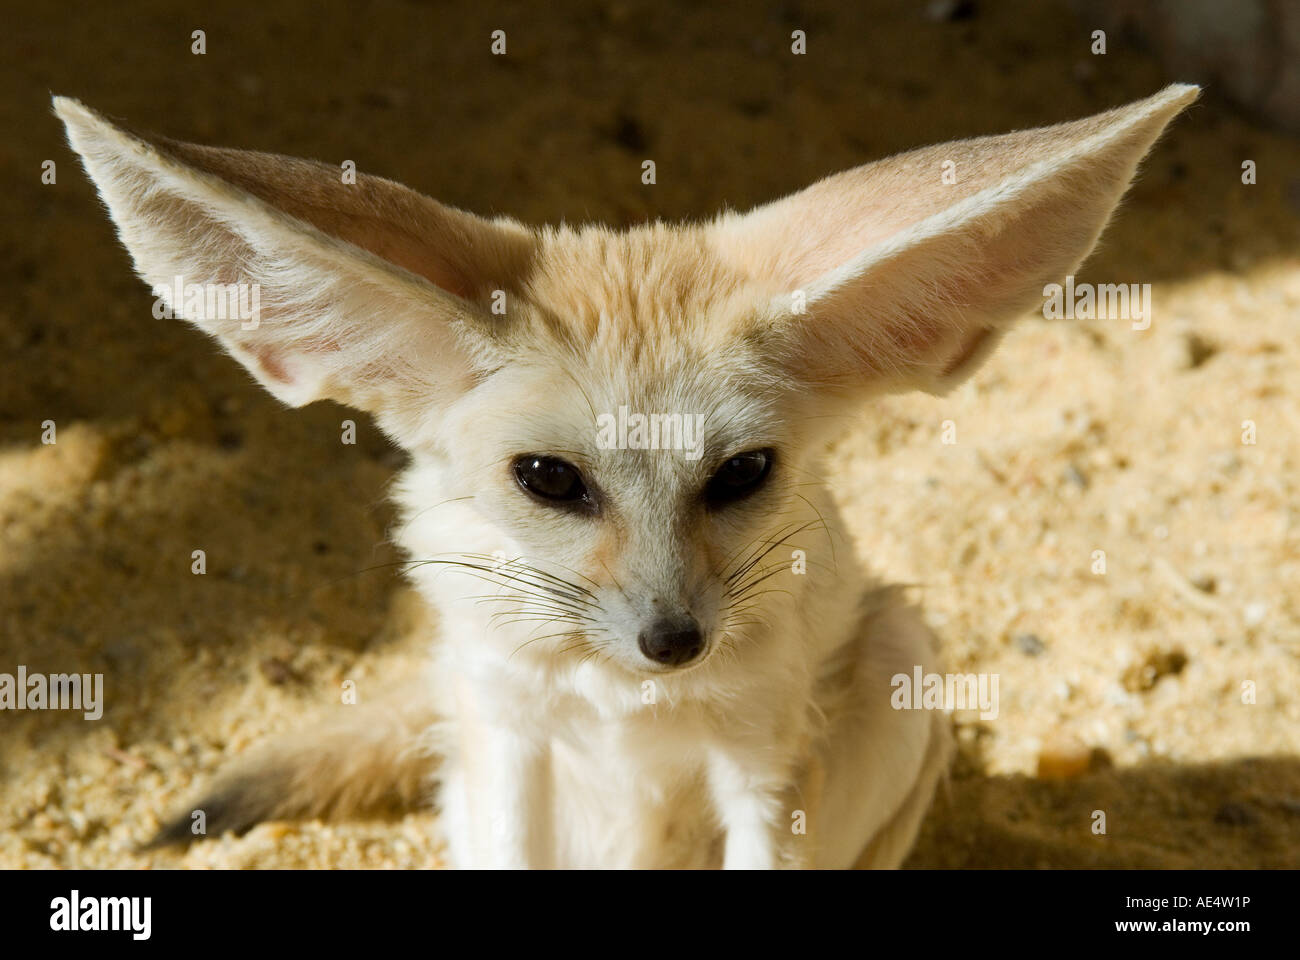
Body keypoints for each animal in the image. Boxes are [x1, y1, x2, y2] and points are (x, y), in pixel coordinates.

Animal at [55, 84, 1197, 868]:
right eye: (549, 480)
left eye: (742, 473)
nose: (672, 642)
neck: (622, 697)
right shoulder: (508, 732)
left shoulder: (766, 764)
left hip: (901, 651)